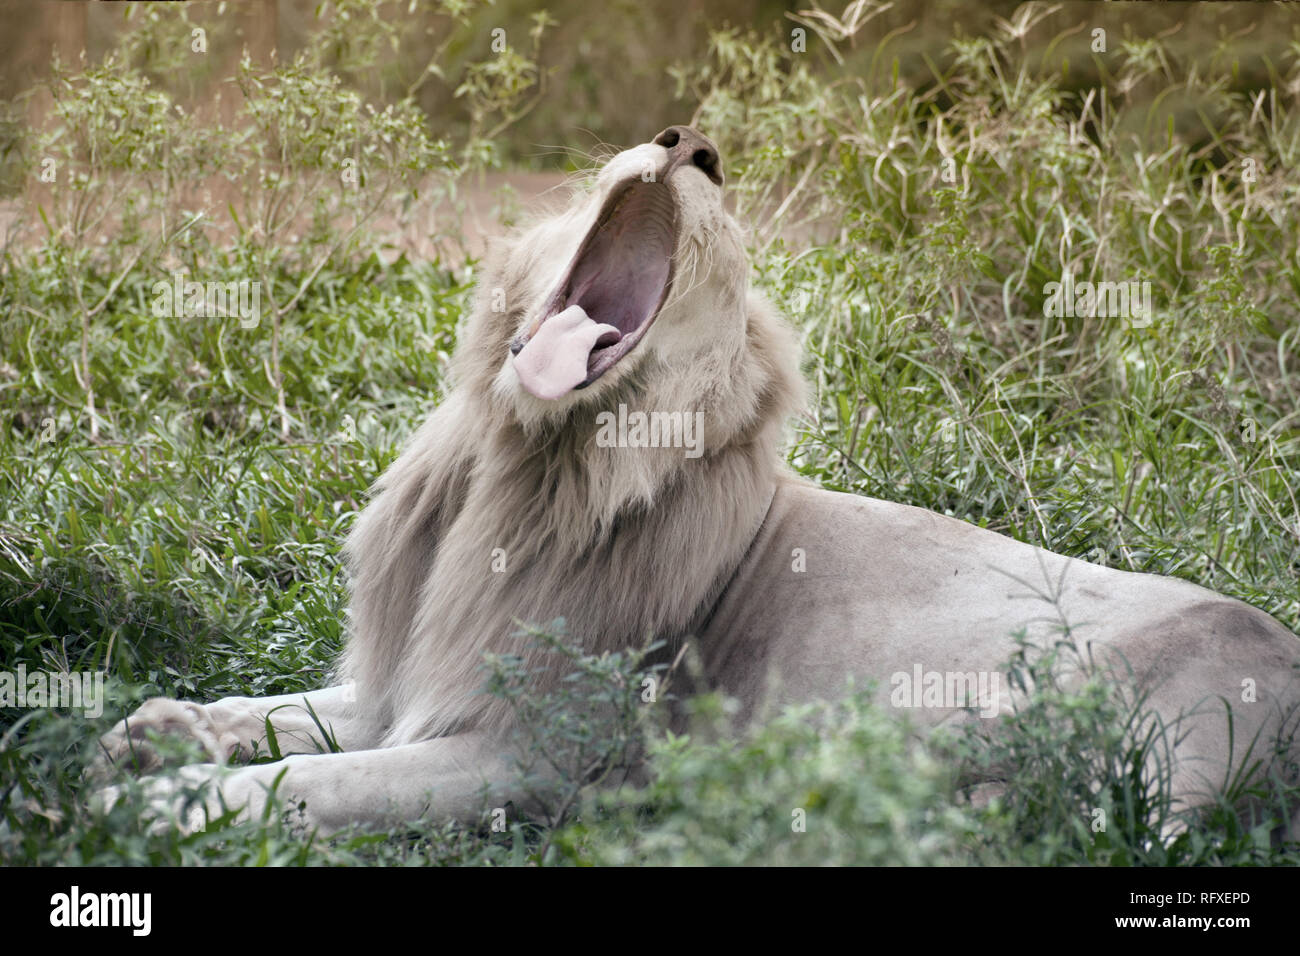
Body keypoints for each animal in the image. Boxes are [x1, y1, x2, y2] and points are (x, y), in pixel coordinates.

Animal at [95, 125, 1300, 837]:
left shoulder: (533, 753)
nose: (695, 143)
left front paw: (164, 799)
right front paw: (160, 728)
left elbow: (322, 779)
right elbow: (296, 713)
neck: (523, 461)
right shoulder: (411, 685)